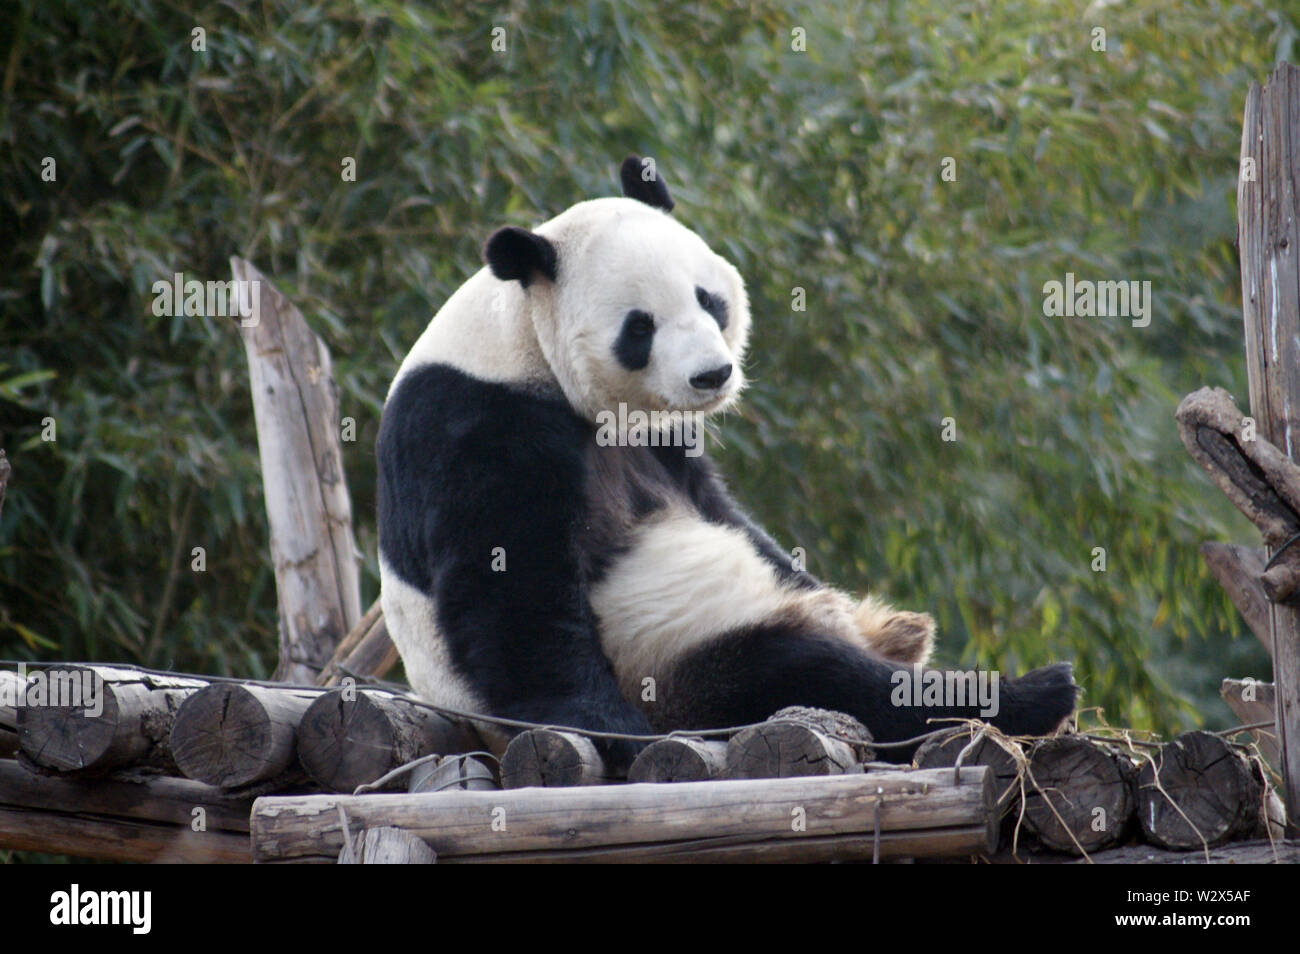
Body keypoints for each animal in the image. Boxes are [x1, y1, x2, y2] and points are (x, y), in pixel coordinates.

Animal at [377, 155, 1078, 769]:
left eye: (708, 299)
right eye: (640, 327)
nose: (712, 375)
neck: (521, 340)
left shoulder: (665, 441)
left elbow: (726, 514)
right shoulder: (479, 423)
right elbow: (512, 591)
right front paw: (616, 734)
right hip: (676, 662)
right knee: (805, 676)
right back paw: (1030, 694)